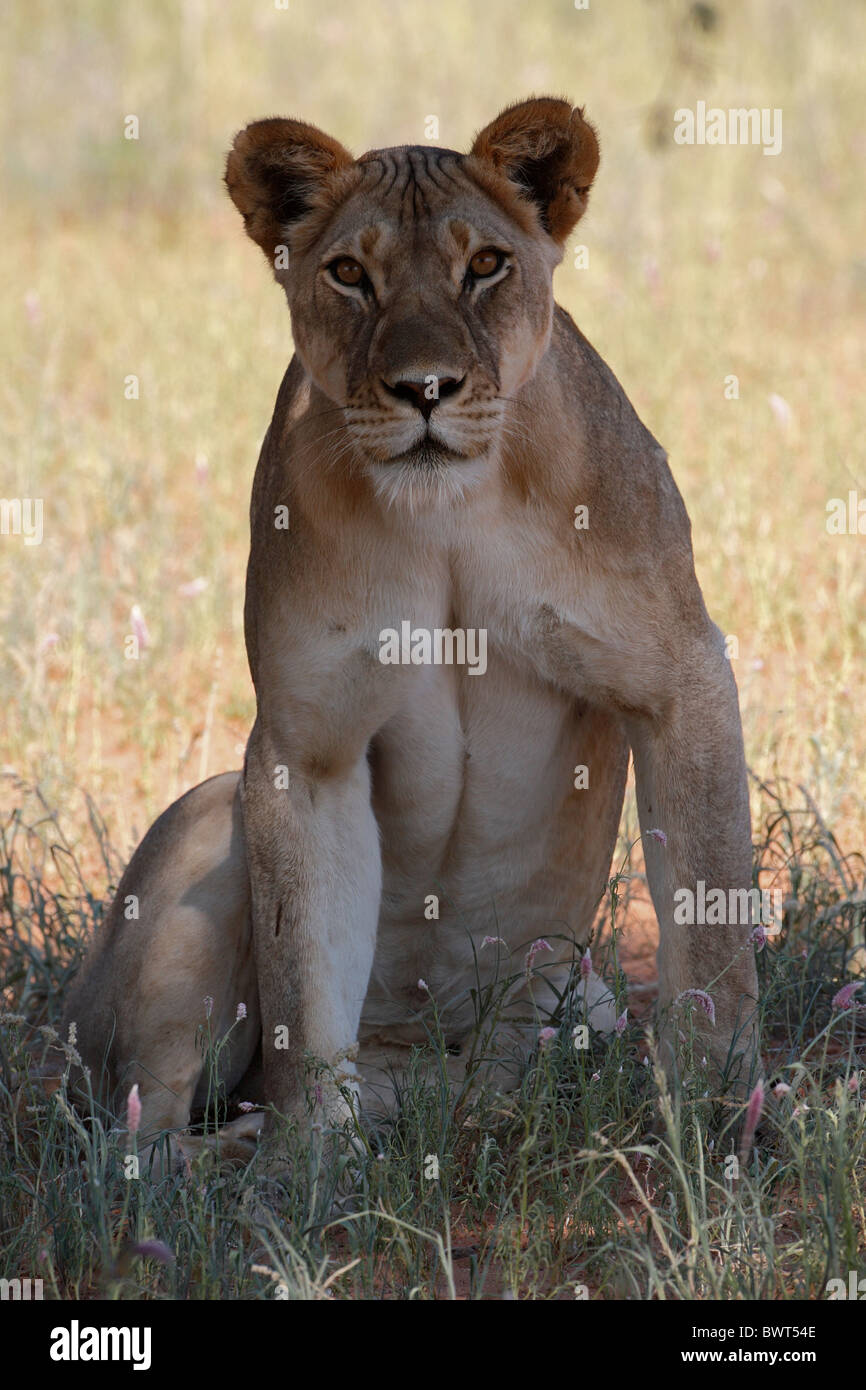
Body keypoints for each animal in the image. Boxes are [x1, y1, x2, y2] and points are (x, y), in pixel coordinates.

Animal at [57, 97, 759, 1166]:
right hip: (206, 832)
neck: (451, 513)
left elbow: (714, 928)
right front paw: (314, 1161)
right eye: (351, 273)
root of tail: (432, 1085)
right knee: (142, 1138)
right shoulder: (304, 746)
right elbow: (306, 979)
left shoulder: (681, 678)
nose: (425, 388)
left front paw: (716, 1116)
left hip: (580, 1002)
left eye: (487, 265)